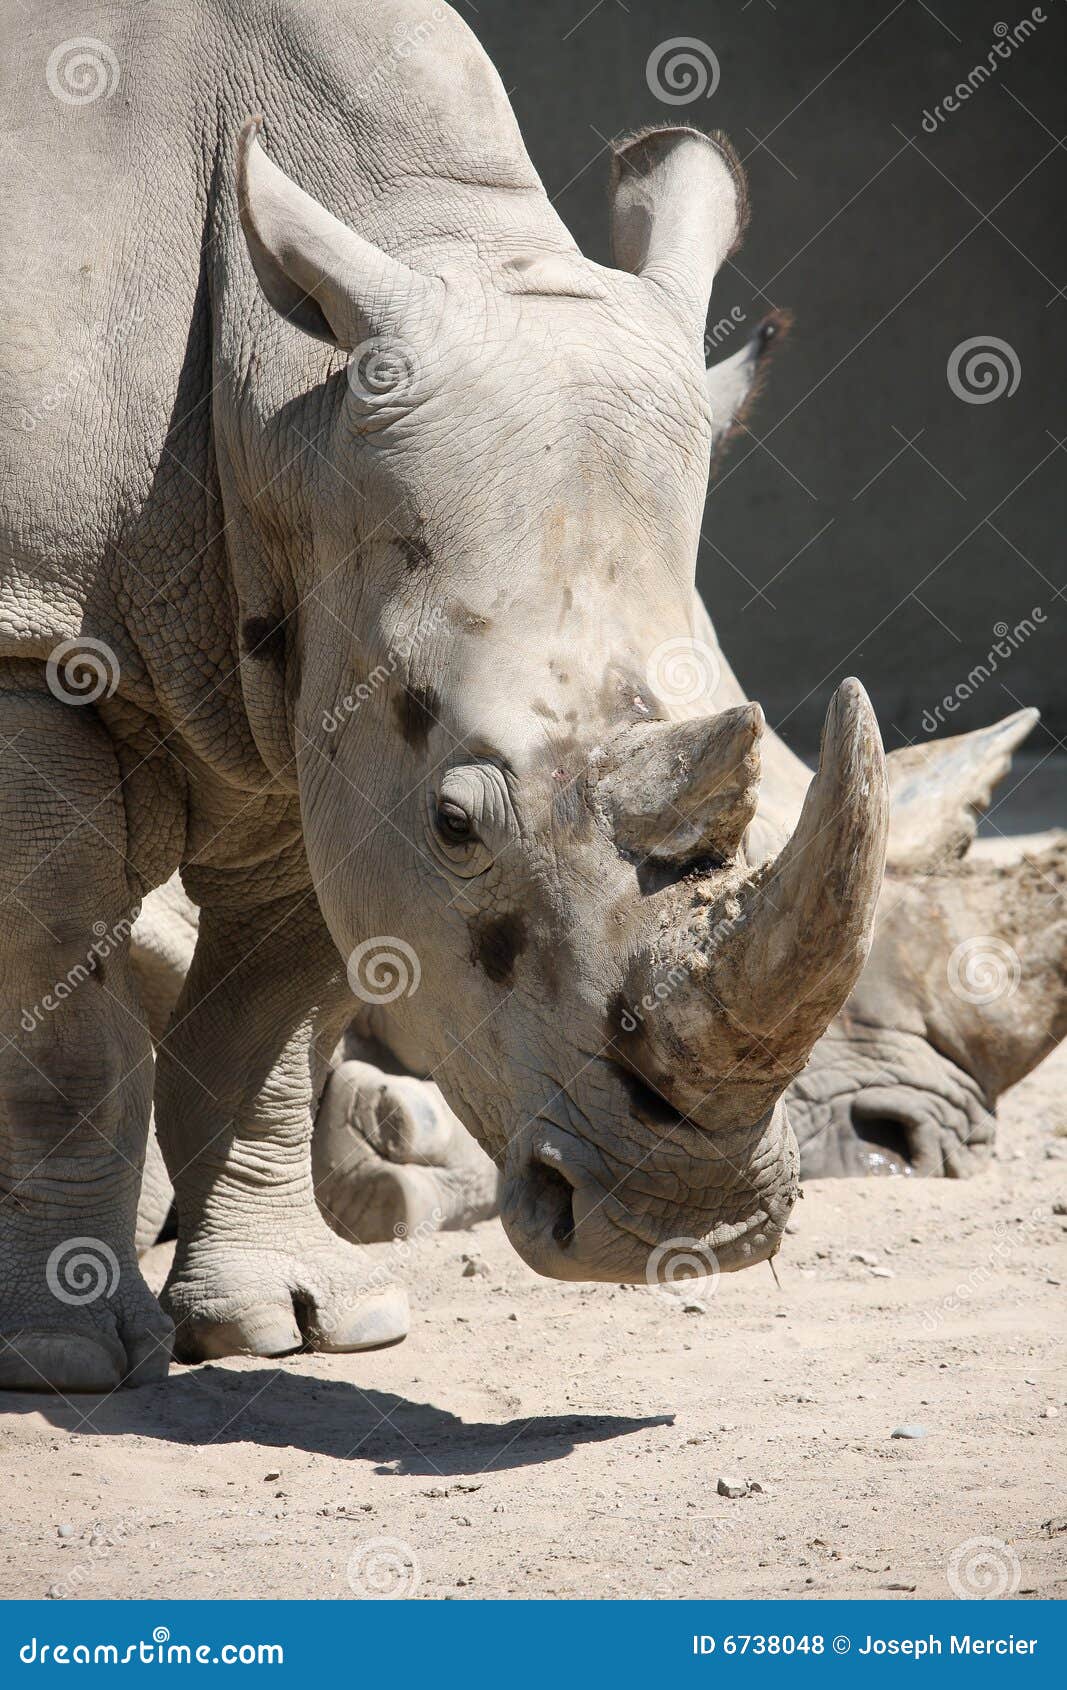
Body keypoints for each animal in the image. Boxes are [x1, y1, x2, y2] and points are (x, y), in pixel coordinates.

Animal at [0, 0, 891, 1391]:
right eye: (459, 824)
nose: (688, 1225)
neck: (286, 411)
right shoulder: (31, 644)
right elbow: (66, 1028)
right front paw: (65, 1357)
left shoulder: (316, 713)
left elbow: (265, 1025)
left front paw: (294, 1320)